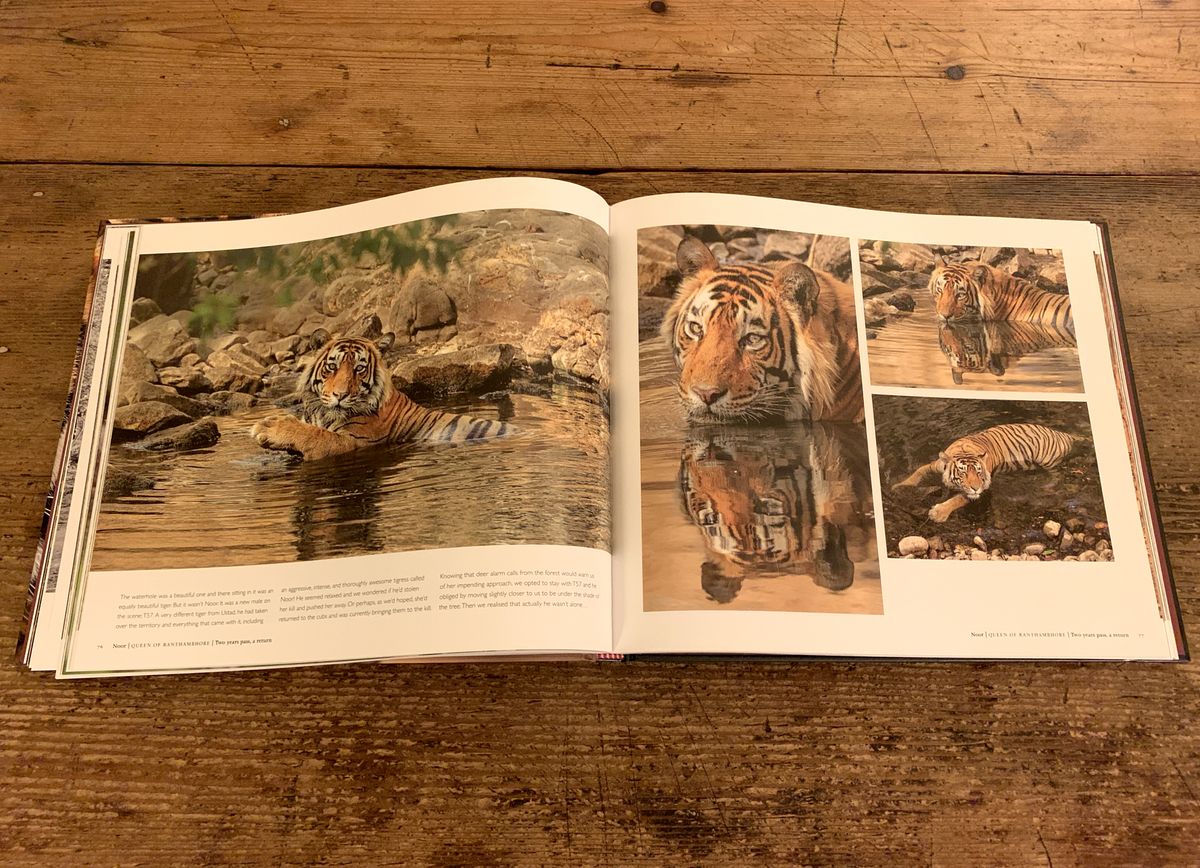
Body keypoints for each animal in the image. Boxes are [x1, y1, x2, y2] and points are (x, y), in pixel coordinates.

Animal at [251, 329, 510, 460]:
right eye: (332, 367)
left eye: (359, 369)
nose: (340, 395)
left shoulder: (355, 441)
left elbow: (315, 434)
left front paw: (268, 427)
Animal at [892, 423, 1085, 522]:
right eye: (963, 473)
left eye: (979, 473)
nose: (976, 487)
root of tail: (1064, 434)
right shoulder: (935, 465)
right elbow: (917, 472)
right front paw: (898, 486)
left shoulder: (981, 490)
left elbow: (957, 499)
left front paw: (938, 513)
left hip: (1049, 461)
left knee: (1058, 476)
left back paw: (1047, 486)